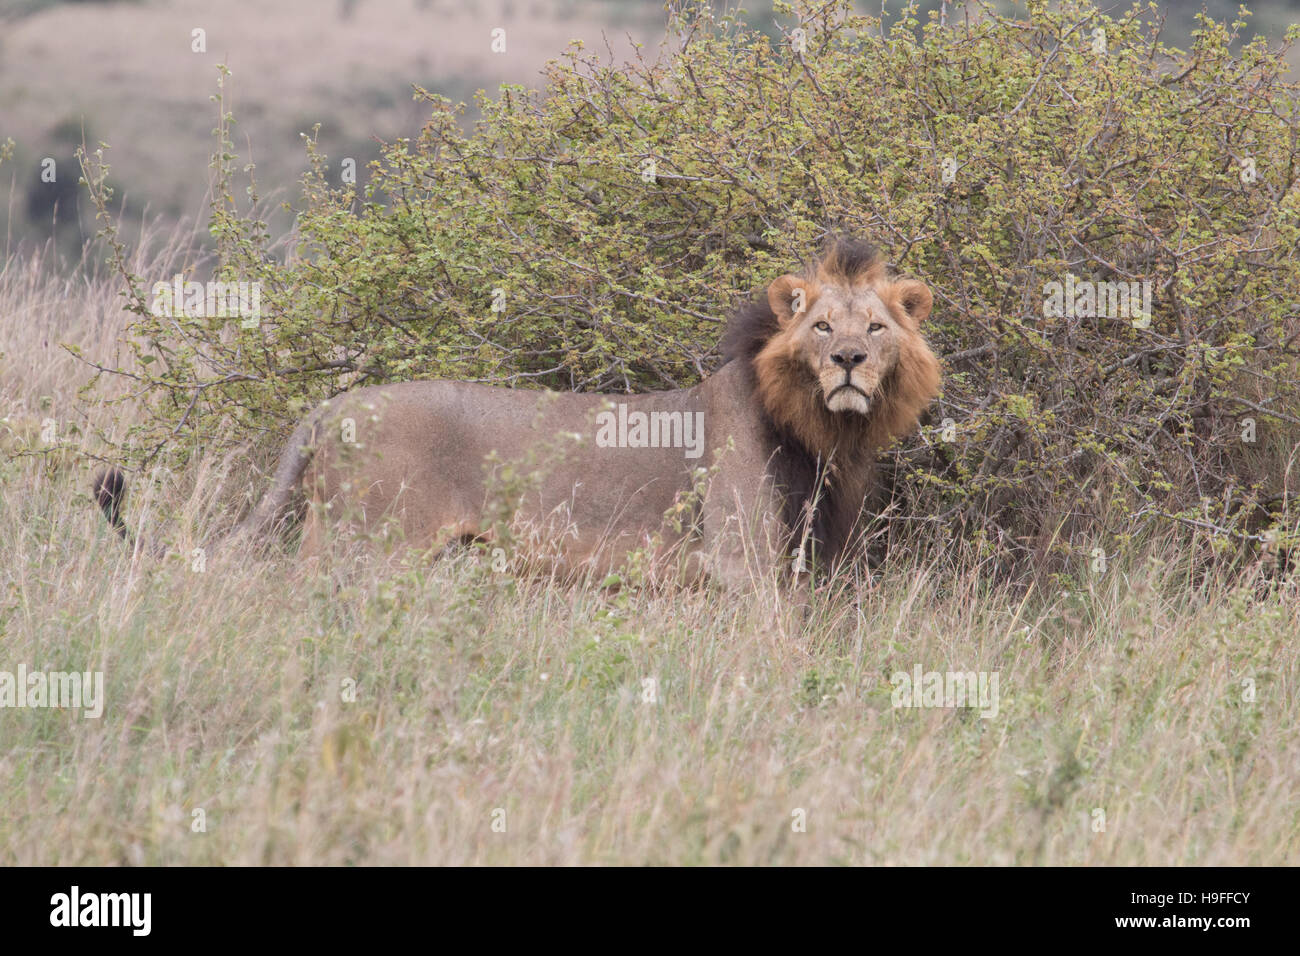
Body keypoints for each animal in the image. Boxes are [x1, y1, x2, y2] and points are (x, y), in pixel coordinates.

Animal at [94, 238, 942, 587]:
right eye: (822, 326)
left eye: (876, 328)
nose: (849, 361)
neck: (828, 434)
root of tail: (331, 405)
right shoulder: (744, 572)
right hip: (361, 547)